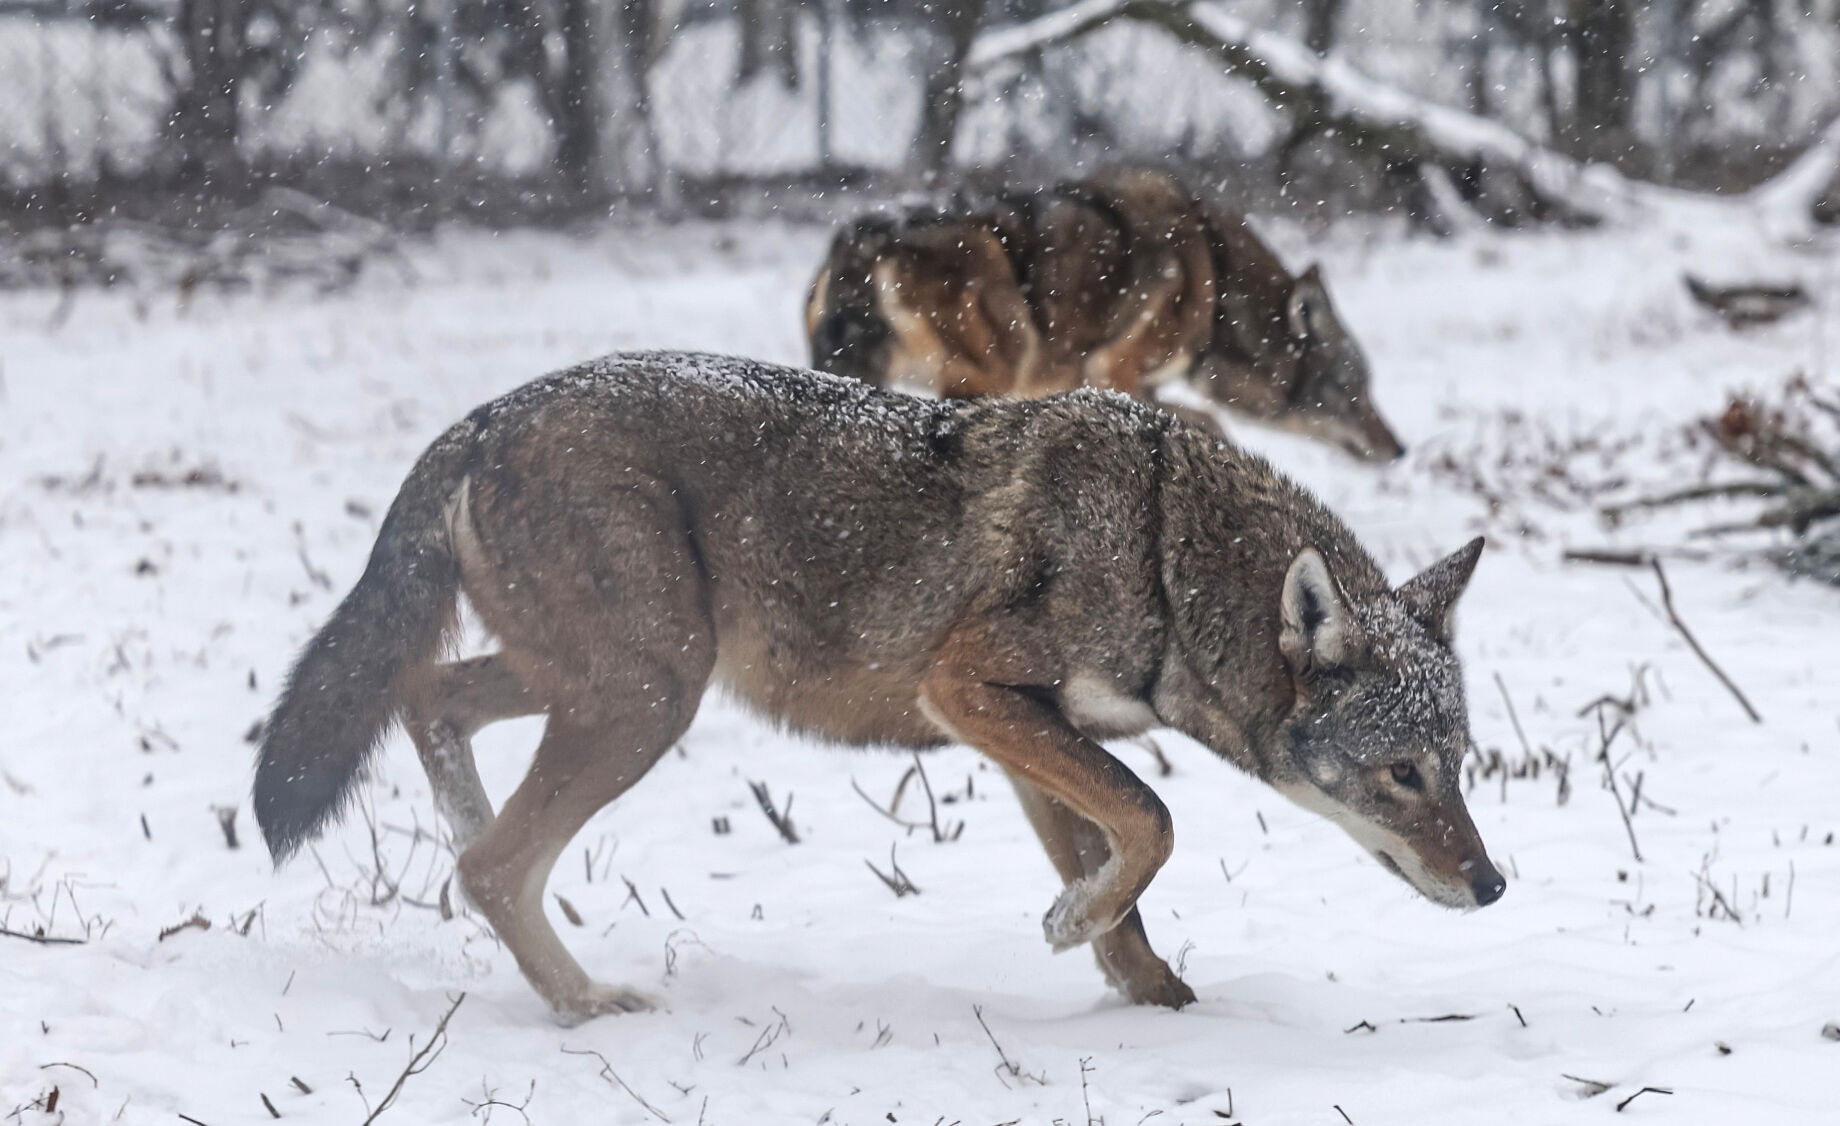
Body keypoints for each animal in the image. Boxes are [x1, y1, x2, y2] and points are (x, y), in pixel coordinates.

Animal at [254, 351, 1500, 1024]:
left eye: (1461, 769)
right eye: (1402, 774)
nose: (1491, 885)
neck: (1160, 543)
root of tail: (477, 421)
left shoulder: (1027, 733)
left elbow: (1125, 884)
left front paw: (1156, 1001)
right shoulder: (974, 692)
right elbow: (1152, 819)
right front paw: (1070, 927)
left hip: (605, 682)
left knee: (432, 709)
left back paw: (486, 861)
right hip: (650, 693)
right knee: (492, 860)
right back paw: (584, 1003)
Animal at [806, 168, 1405, 461]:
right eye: (1353, 387)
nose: (1398, 449)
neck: (1217, 282)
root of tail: (861, 240)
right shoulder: (1114, 373)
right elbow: (1212, 423)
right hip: (998, 358)